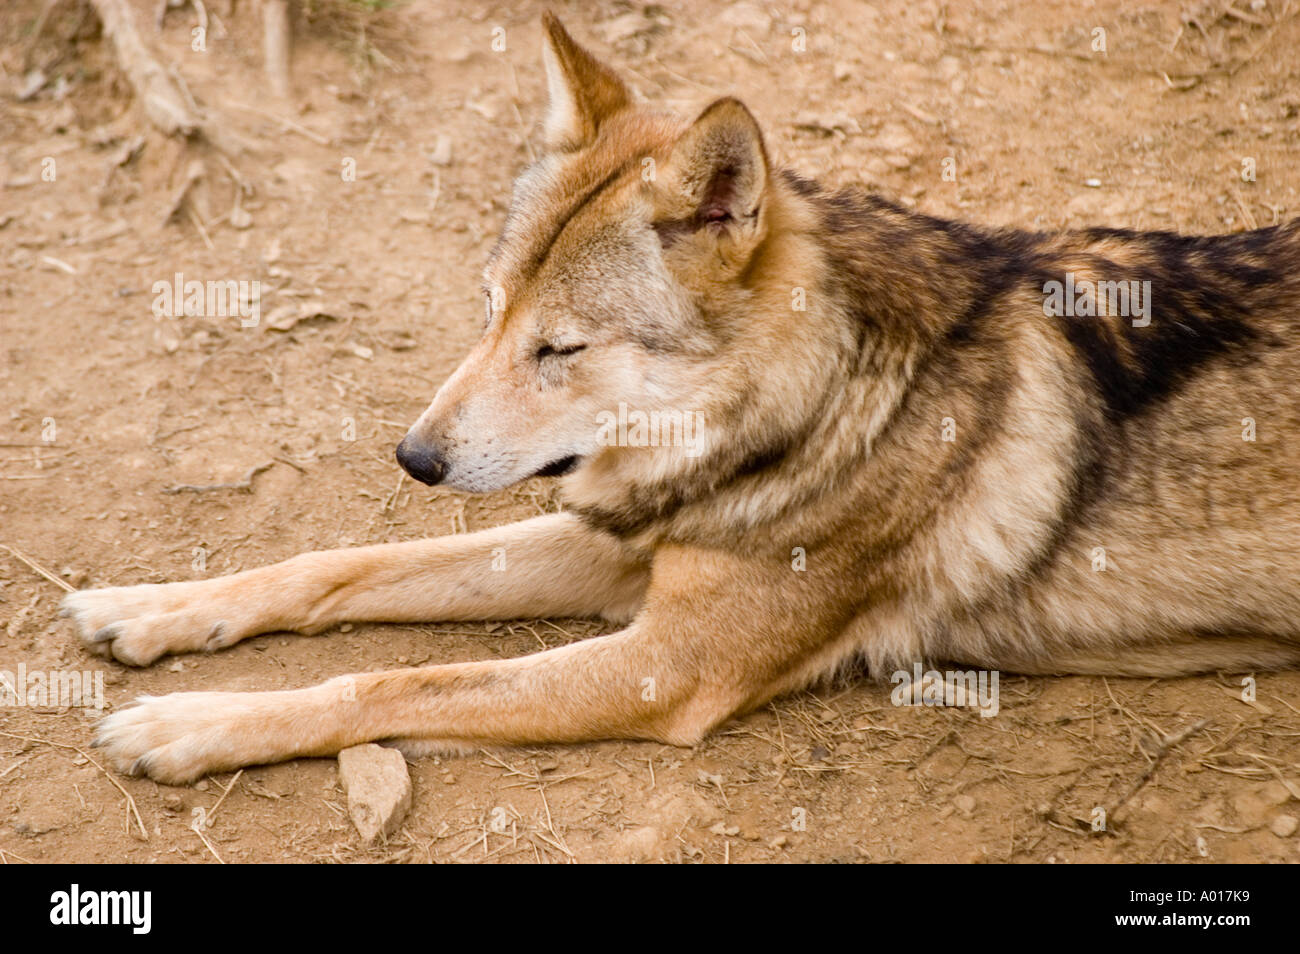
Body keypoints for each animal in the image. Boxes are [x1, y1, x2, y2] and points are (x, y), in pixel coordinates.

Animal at [66, 14, 1300, 783]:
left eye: (559, 347)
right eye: (491, 310)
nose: (413, 458)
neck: (816, 406)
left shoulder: (667, 663)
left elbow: (388, 679)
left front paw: (193, 723)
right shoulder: (622, 546)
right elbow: (338, 567)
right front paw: (153, 607)